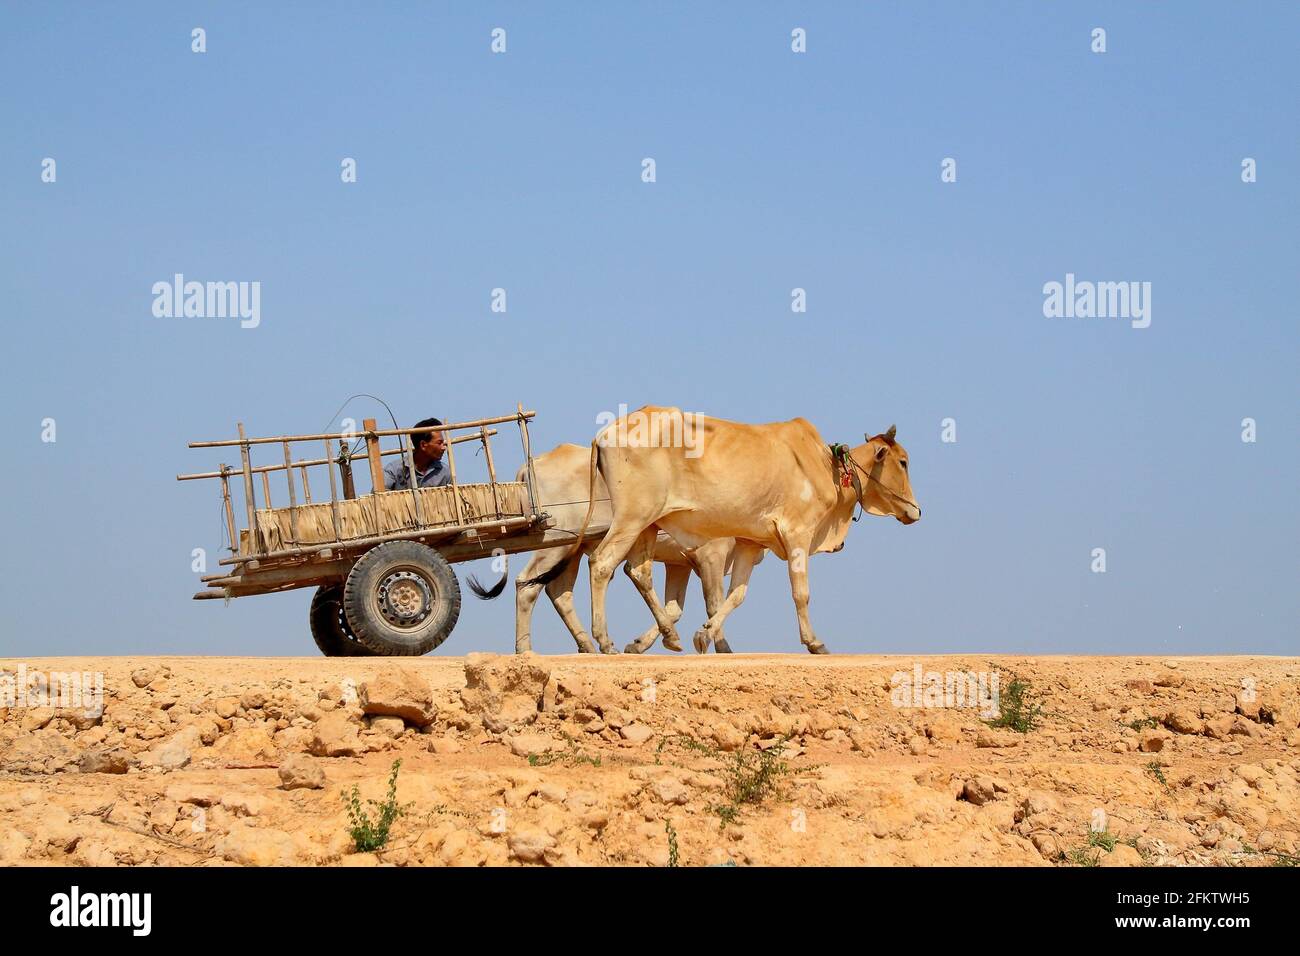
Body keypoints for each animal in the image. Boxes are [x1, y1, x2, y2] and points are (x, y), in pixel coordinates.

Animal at [469, 443, 764, 654]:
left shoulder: (679, 563)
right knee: (527, 585)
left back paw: (587, 645)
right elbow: (714, 604)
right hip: (553, 545)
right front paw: (721, 648)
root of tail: (534, 462)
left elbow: (675, 609)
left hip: (571, 550)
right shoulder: (710, 556)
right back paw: (527, 648)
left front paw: (646, 643)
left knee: (559, 592)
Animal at [557, 407, 920, 654]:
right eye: (903, 462)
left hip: (648, 525)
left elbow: (735, 596)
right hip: (631, 519)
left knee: (638, 573)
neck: (827, 468)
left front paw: (704, 635)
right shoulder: (798, 534)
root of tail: (604, 434)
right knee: (601, 564)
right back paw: (604, 641)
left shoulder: (750, 543)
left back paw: (666, 636)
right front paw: (814, 642)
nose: (916, 510)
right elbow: (800, 593)